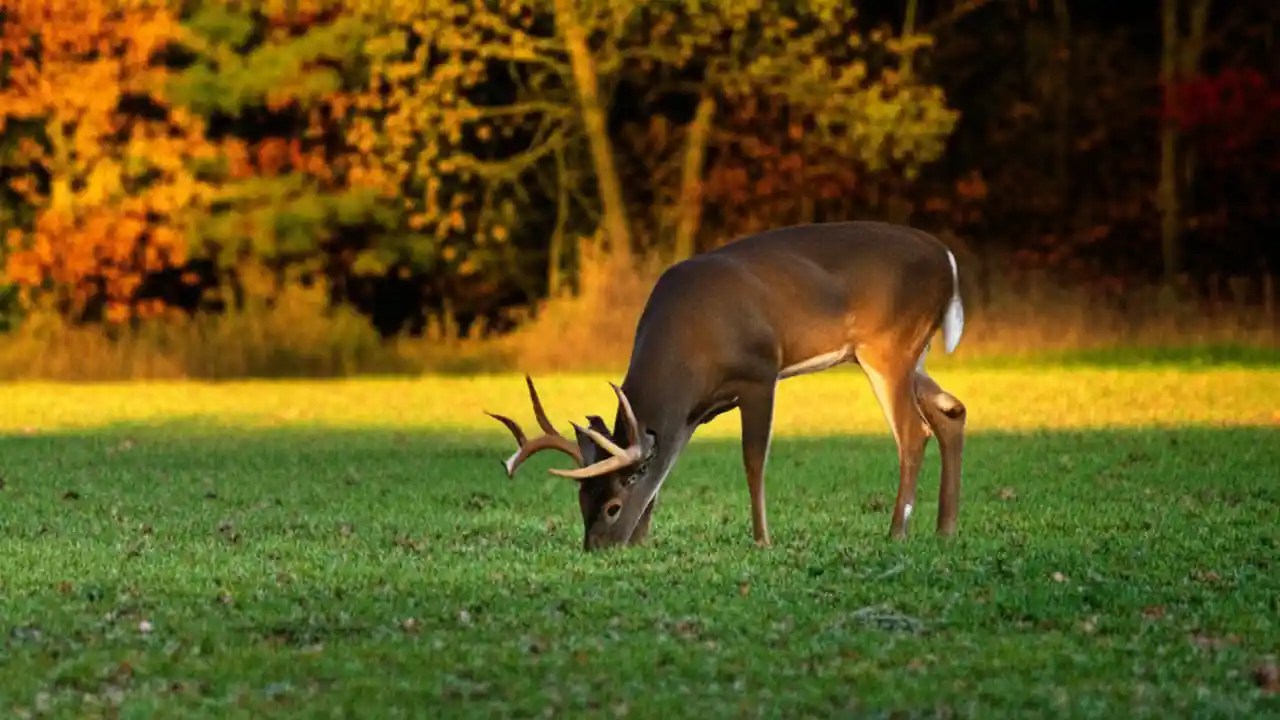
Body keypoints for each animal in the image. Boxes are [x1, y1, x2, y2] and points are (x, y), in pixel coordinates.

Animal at [485, 221, 968, 551]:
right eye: (583, 500)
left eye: (611, 507)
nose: (596, 549)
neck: (689, 342)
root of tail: (948, 258)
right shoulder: (694, 410)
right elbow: (665, 468)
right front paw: (643, 540)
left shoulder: (760, 372)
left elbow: (753, 460)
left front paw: (762, 539)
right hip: (910, 354)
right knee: (952, 413)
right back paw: (944, 529)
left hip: (888, 346)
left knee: (914, 432)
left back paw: (897, 531)